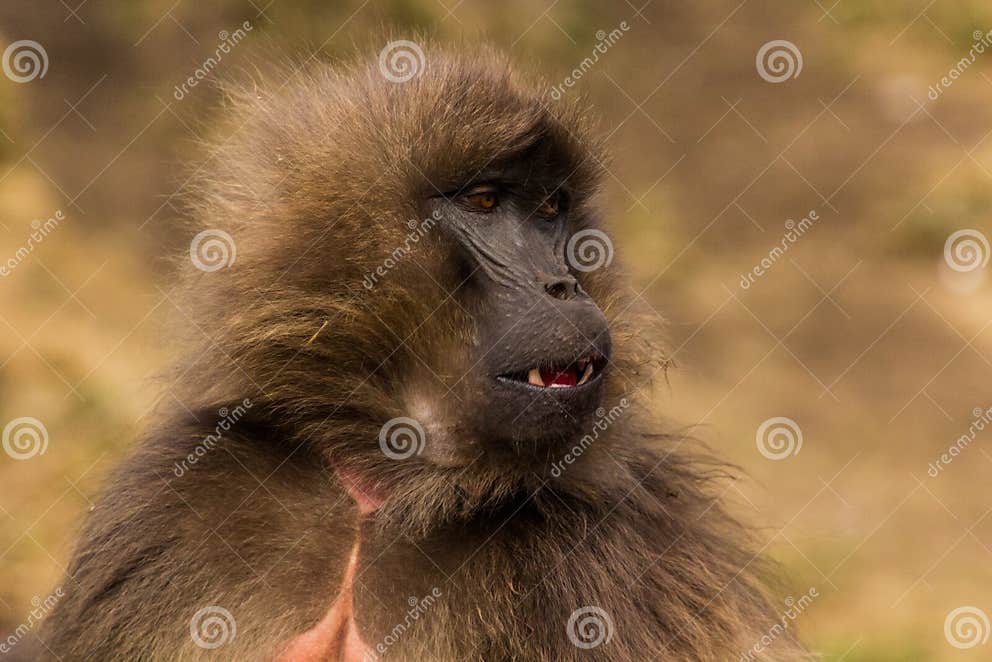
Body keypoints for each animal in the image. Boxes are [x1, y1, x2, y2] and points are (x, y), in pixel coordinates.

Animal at [29, 44, 811, 661]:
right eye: (487, 202)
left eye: (551, 210)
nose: (563, 283)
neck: (391, 488)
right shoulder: (176, 499)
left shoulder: (624, 554)